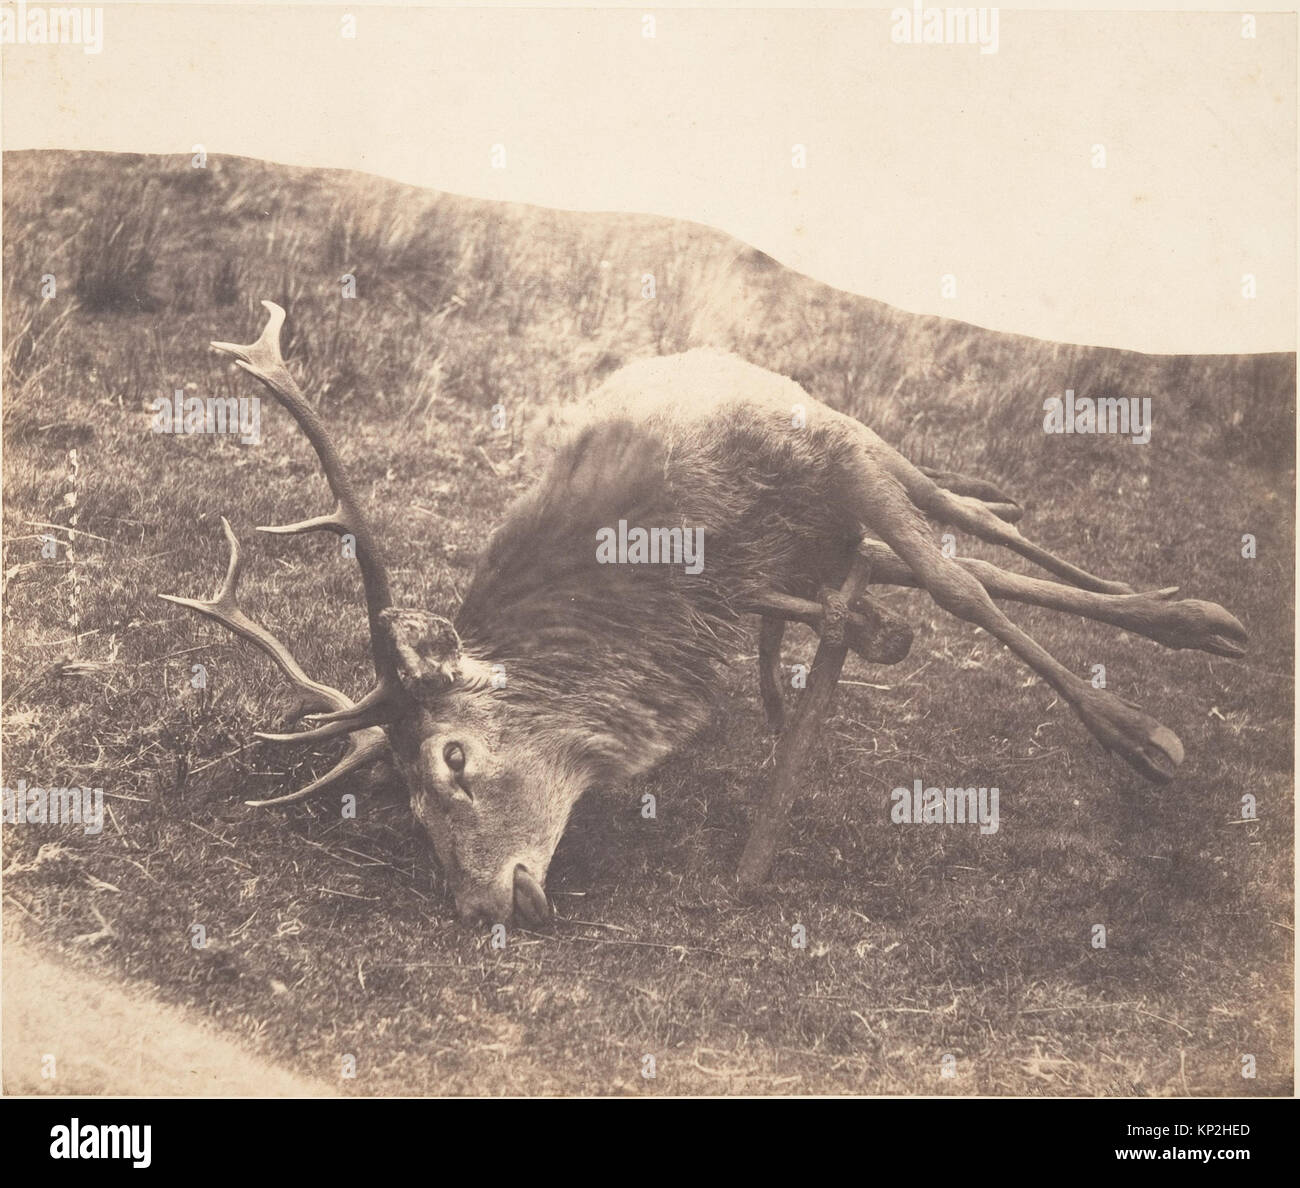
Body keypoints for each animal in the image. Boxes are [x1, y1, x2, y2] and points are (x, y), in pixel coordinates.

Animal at [162, 301, 1247, 927]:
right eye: (405, 801)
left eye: (451, 759)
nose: (476, 907)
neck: (665, 543)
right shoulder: (743, 582)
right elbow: (907, 592)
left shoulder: (833, 455)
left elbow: (959, 586)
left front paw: (1141, 735)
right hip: (818, 537)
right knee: (909, 557)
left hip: (856, 448)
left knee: (962, 524)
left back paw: (1190, 613)